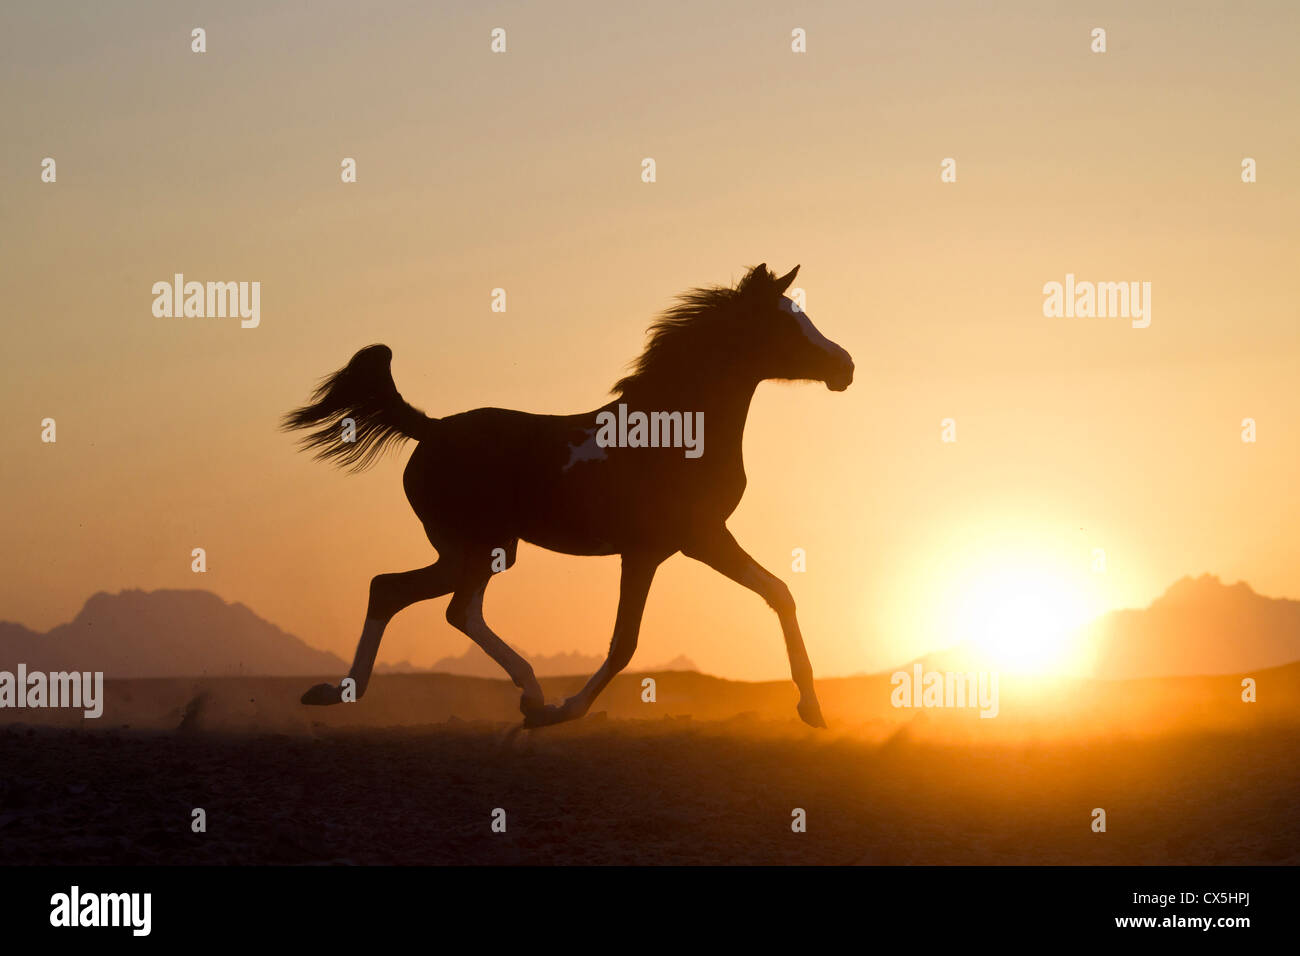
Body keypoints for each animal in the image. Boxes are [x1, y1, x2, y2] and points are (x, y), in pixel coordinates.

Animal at [284, 264, 854, 728]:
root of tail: (430, 428)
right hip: (481, 545)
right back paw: (532, 697)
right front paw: (565, 711)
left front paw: (813, 710)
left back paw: (338, 692)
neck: (676, 432)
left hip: (474, 549)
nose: (845, 367)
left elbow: (778, 593)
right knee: (439, 604)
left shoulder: (683, 544)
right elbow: (626, 643)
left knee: (406, 594)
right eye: (787, 324)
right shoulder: (677, 543)